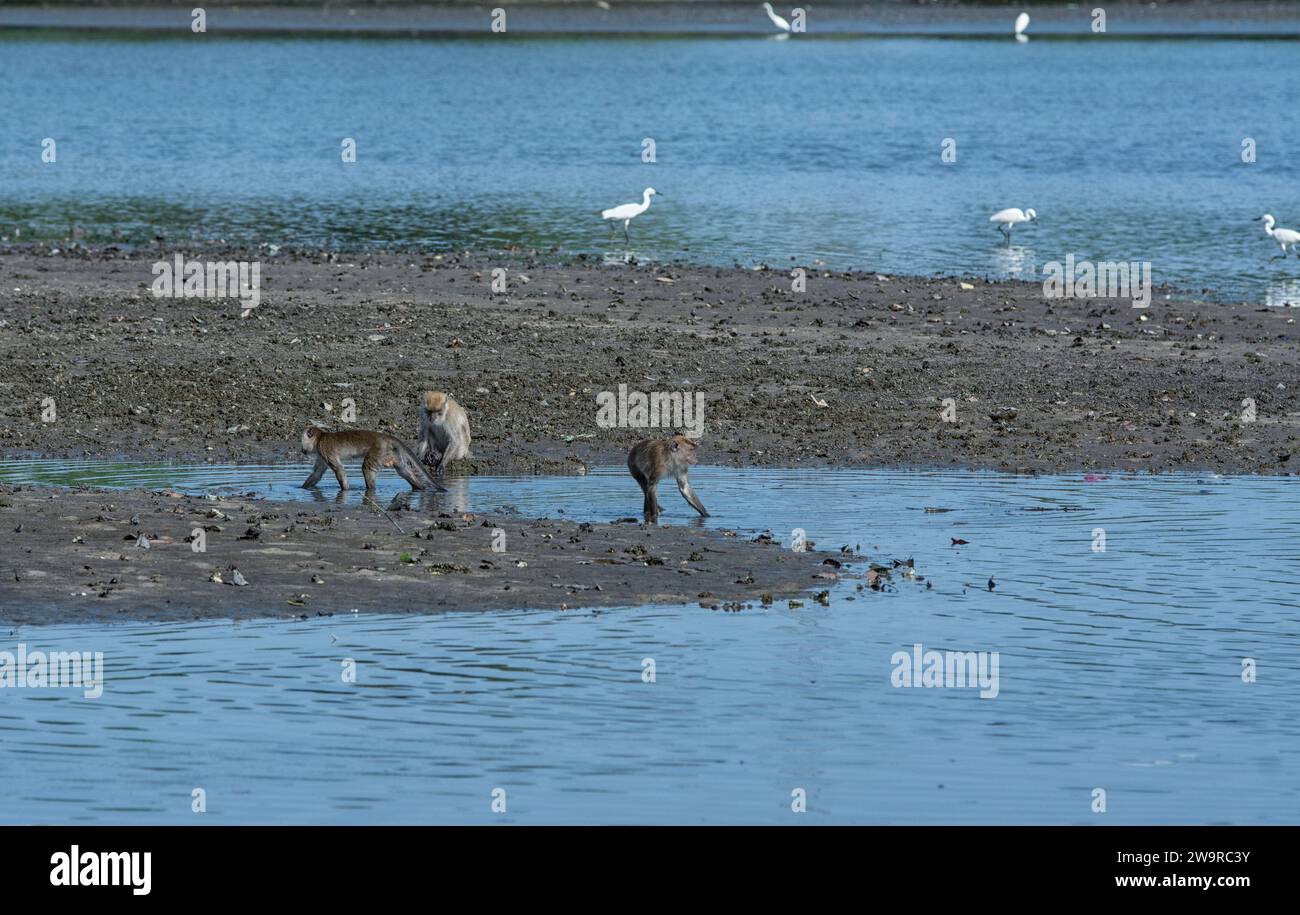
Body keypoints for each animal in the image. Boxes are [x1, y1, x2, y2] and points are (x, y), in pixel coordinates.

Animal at [300, 426, 446, 492]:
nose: (302, 450)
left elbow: (339, 470)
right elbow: (317, 472)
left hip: (379, 449)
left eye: (302, 441)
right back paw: (420, 488)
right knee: (403, 469)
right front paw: (302, 488)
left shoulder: (324, 449)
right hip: (389, 451)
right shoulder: (321, 454)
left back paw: (370, 490)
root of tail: (386, 437)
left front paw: (345, 490)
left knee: (367, 468)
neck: (320, 438)